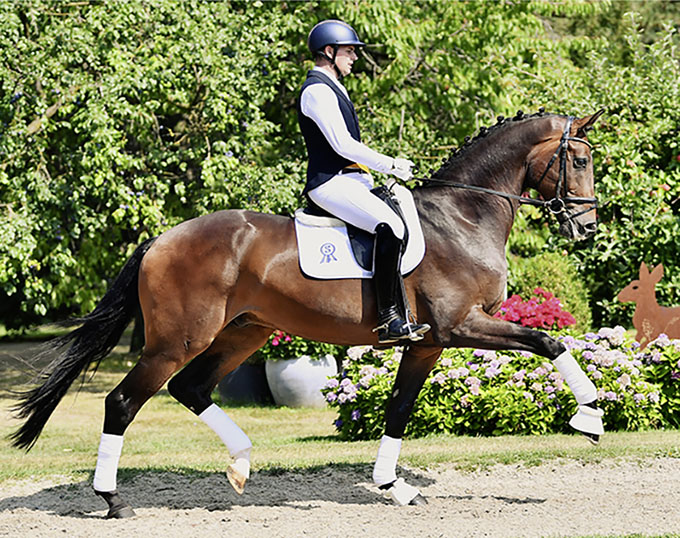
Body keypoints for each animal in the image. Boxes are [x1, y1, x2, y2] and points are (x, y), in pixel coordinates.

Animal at [11, 108, 605, 515]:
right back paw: (112, 499)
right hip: (177, 341)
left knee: (191, 388)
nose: (588, 229)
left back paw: (241, 464)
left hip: (243, 333)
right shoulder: (460, 326)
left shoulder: (429, 343)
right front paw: (590, 417)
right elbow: (550, 342)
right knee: (124, 401)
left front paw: (394, 486)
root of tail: (161, 239)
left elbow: (398, 409)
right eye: (578, 161)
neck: (462, 216)